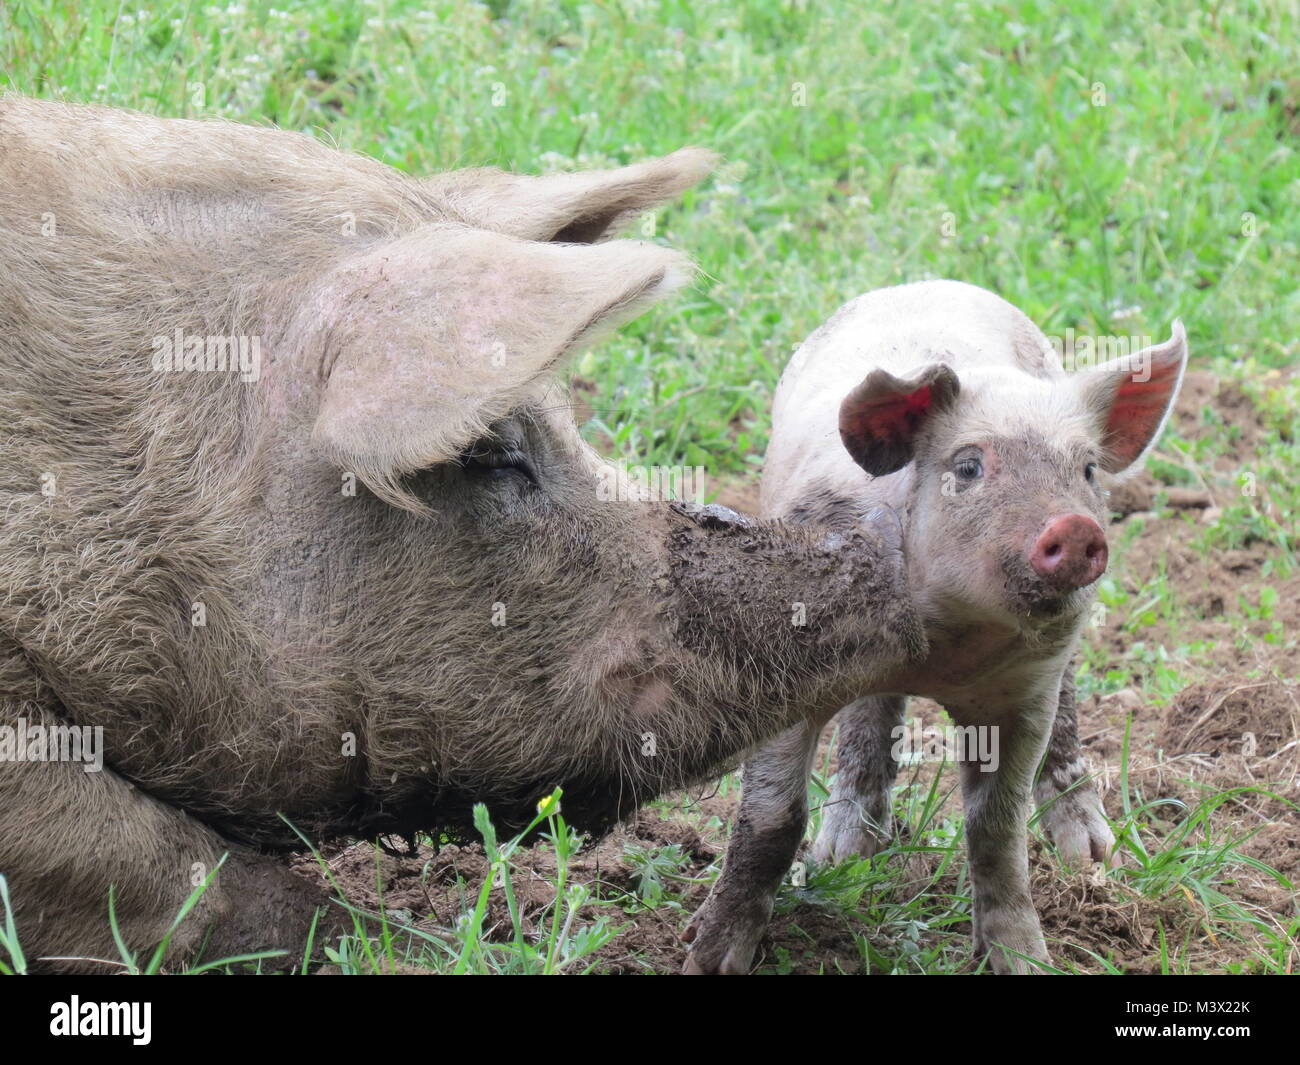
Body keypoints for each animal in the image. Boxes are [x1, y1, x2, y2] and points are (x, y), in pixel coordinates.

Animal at [683, 280, 1187, 974]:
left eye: (1086, 469)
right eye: (969, 466)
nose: (1076, 527)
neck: (942, 650)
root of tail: (928, 281)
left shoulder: (1025, 692)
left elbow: (997, 828)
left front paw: (1025, 960)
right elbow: (772, 818)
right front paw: (708, 957)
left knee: (1065, 717)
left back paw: (1091, 855)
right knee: (869, 715)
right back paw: (843, 855)